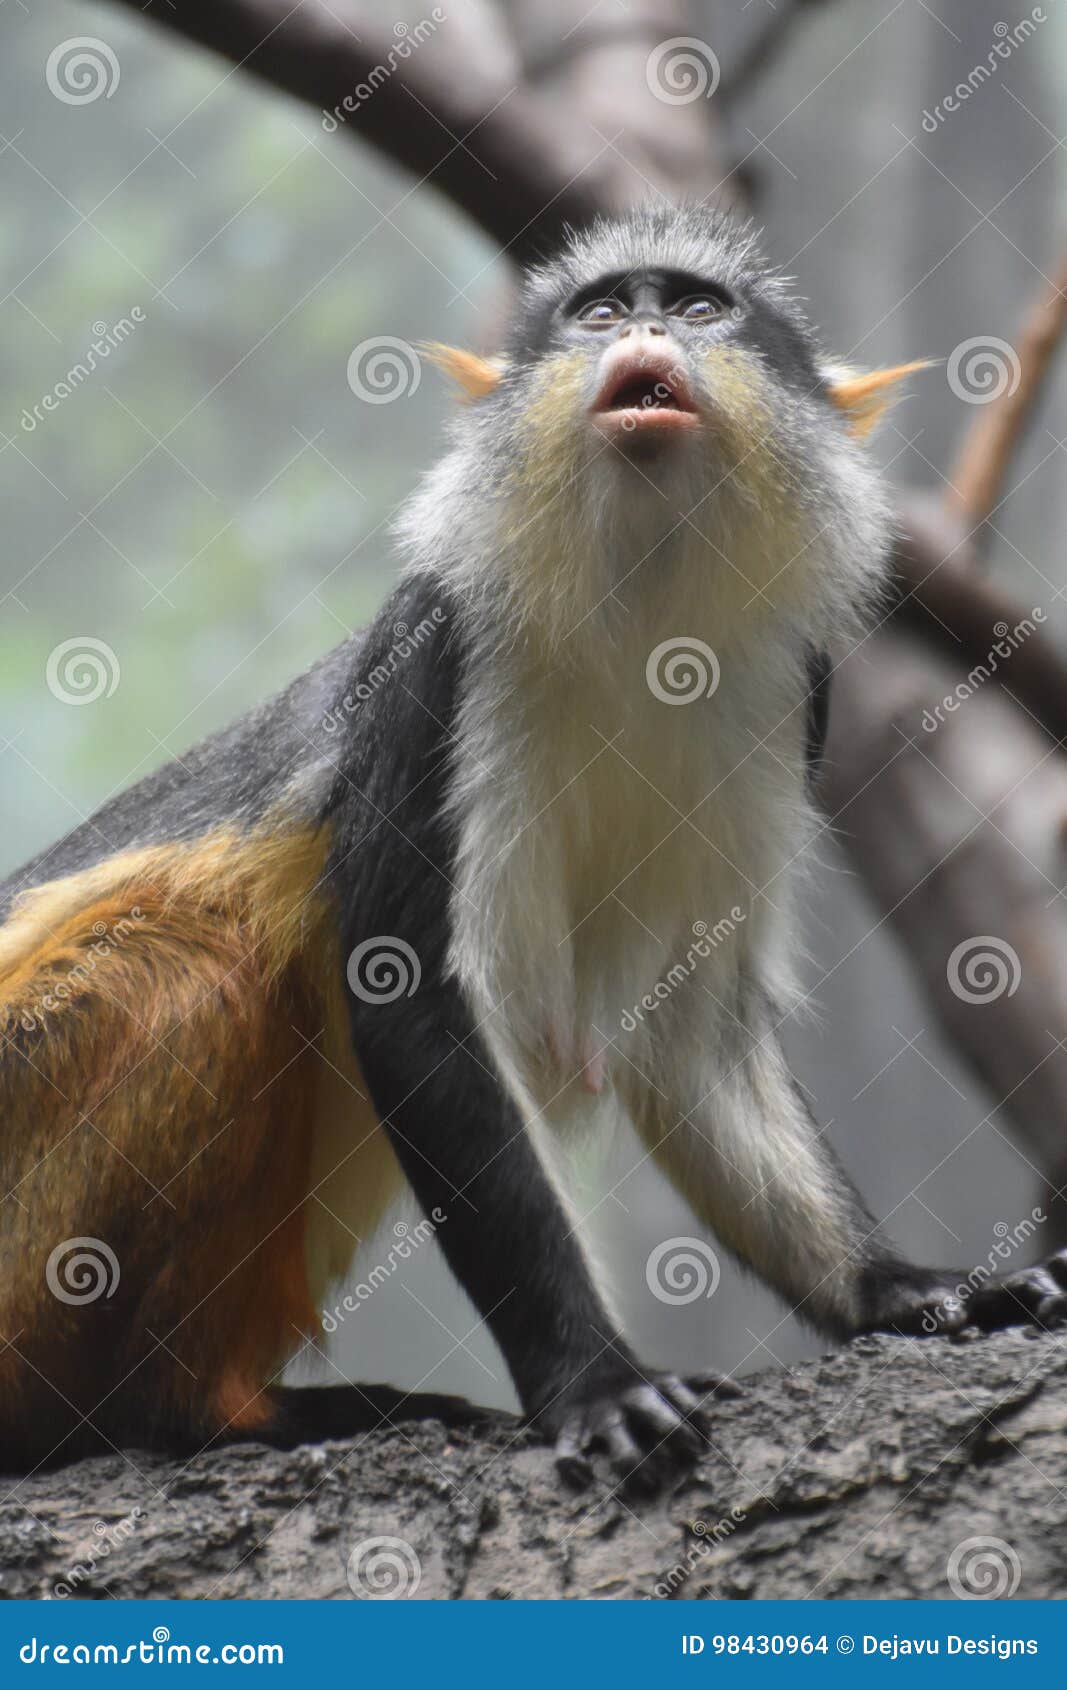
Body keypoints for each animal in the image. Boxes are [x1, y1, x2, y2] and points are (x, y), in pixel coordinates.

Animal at [2, 204, 1065, 1491]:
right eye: (598, 312)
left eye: (697, 307)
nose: (644, 333)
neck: (642, 607)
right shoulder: (439, 660)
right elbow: (407, 993)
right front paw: (596, 1382)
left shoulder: (794, 692)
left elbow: (689, 1029)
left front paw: (900, 1291)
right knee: (189, 972)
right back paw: (200, 1408)